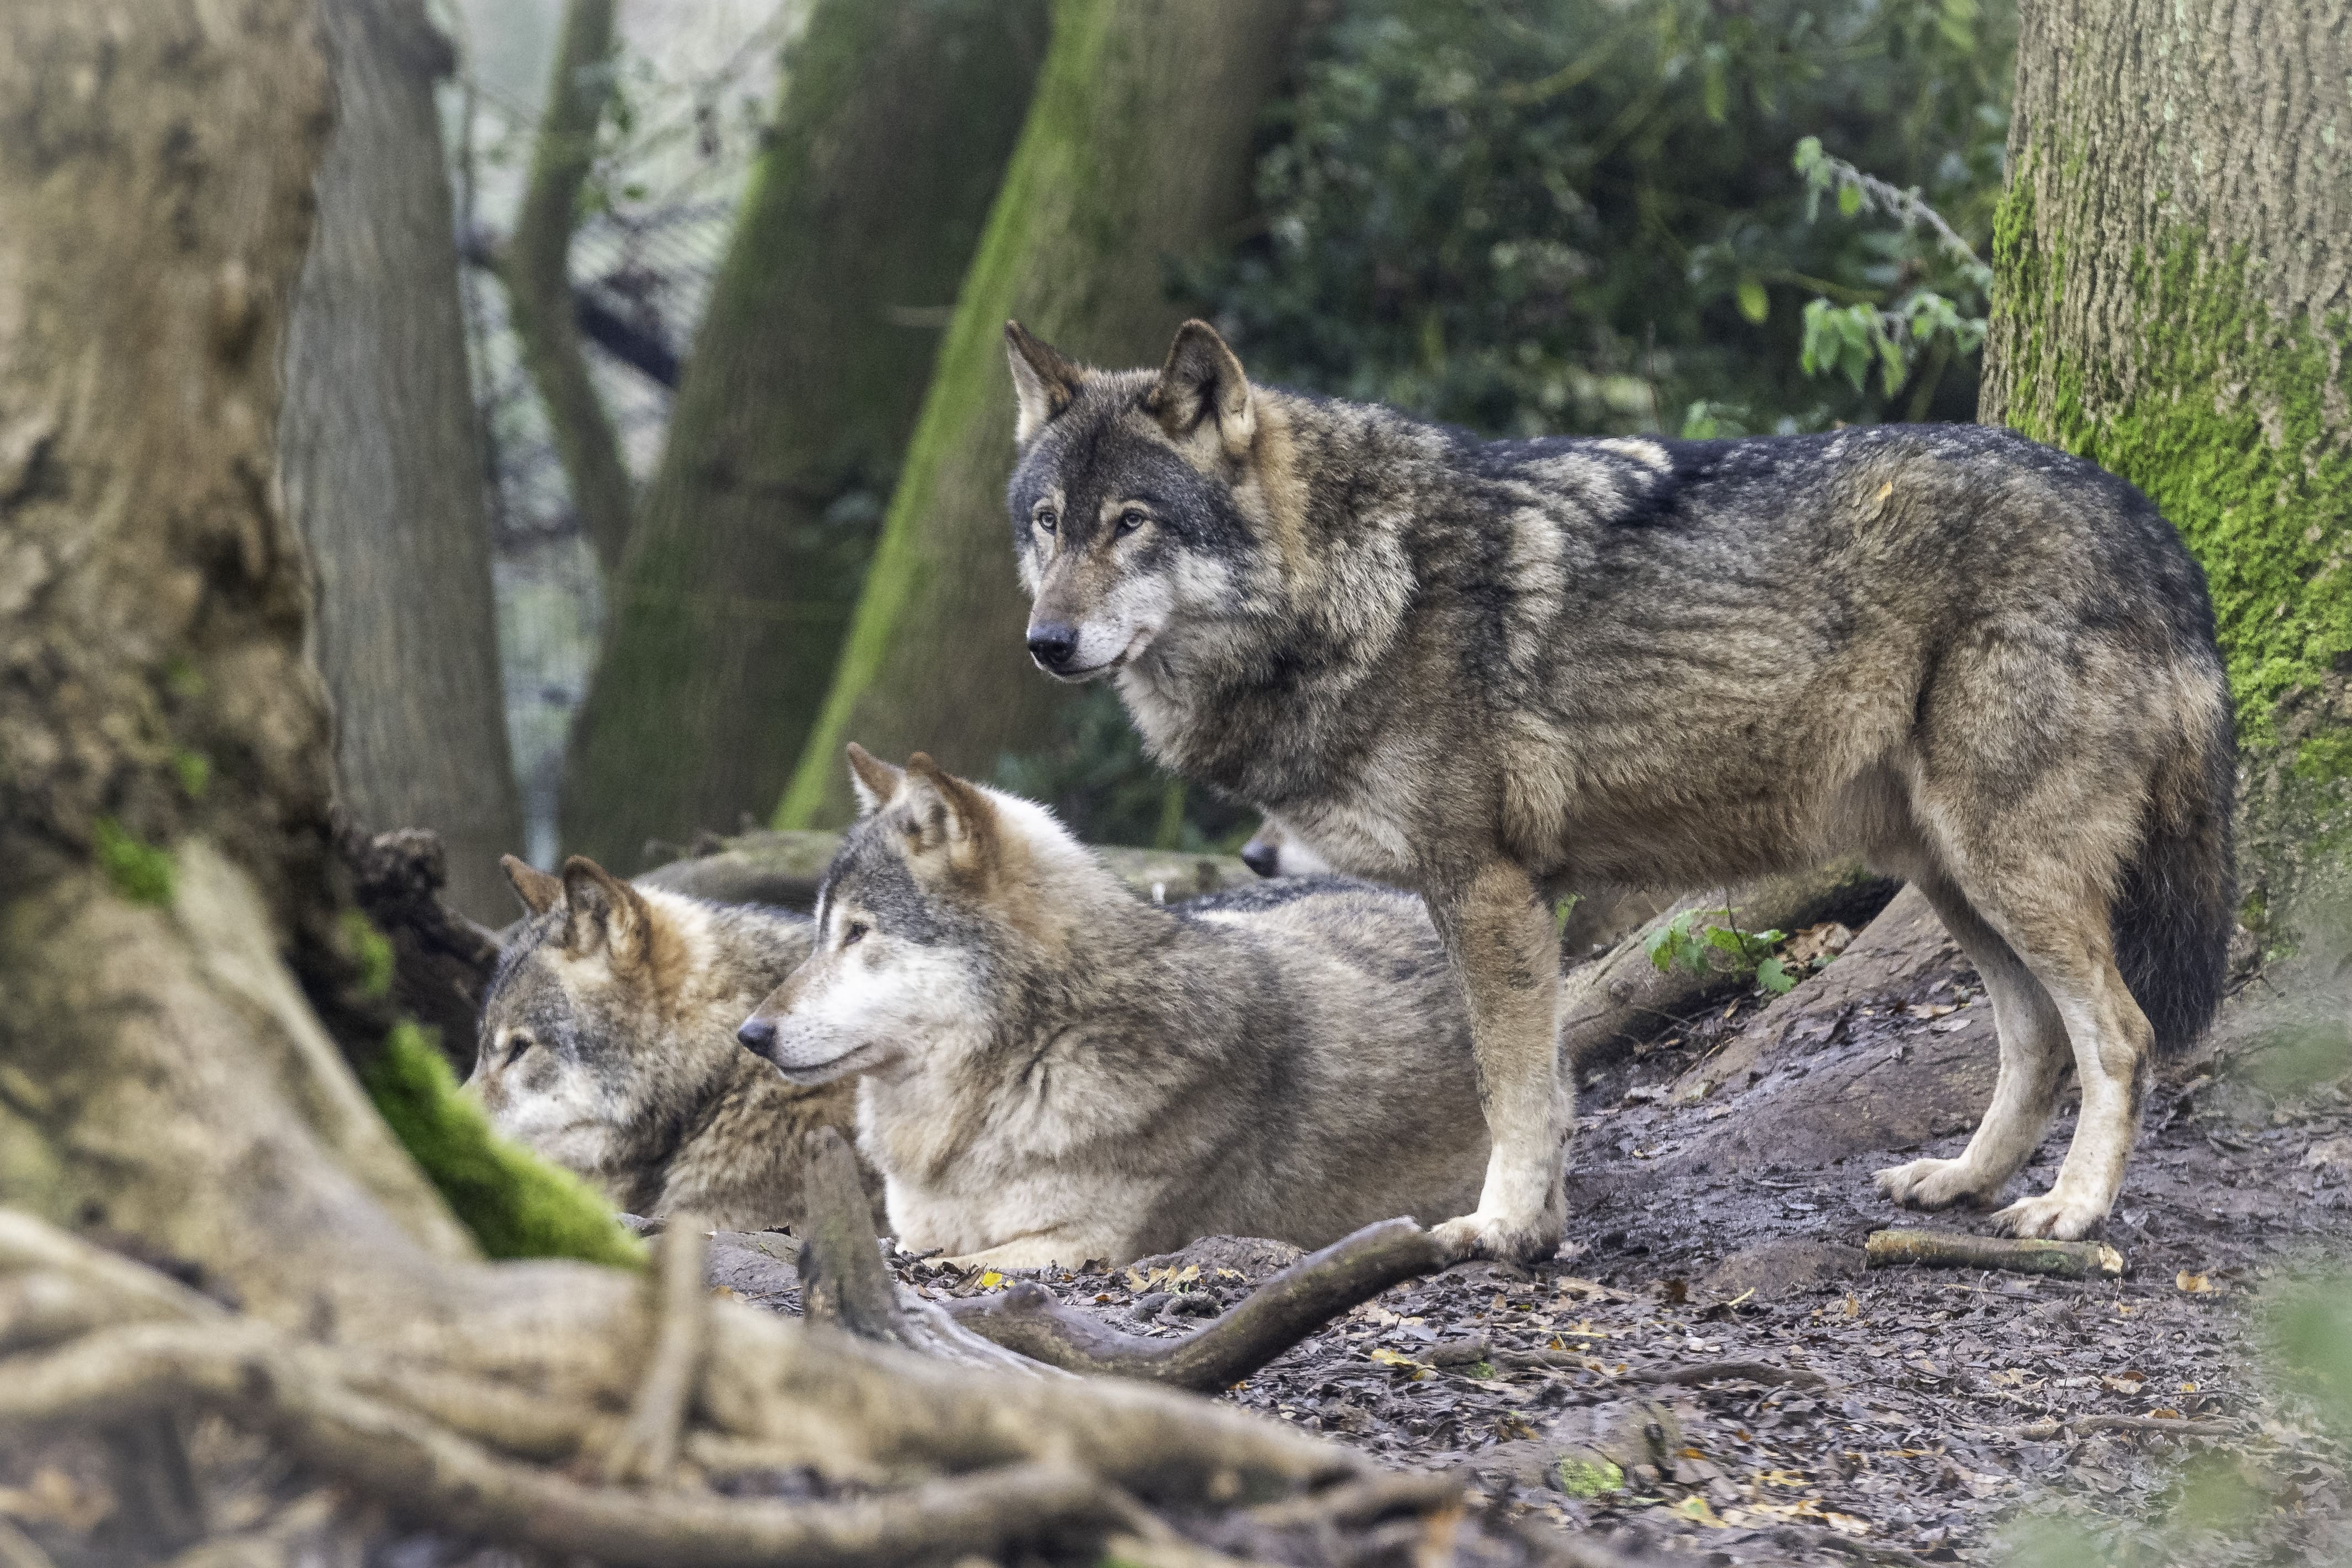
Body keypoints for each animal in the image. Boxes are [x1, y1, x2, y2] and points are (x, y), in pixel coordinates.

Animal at [1000, 317, 2235, 1258]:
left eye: (1132, 523)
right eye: (1049, 523)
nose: (1044, 644)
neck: (1366, 586)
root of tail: (2155, 526)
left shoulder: (1484, 888)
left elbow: (1509, 1087)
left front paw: (1497, 1232)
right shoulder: (1525, 904)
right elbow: (1546, 1085)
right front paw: (1539, 1224)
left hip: (2002, 866)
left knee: (2120, 1034)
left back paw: (2072, 1211)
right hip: (1946, 874)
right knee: (2033, 1041)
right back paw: (1964, 1183)